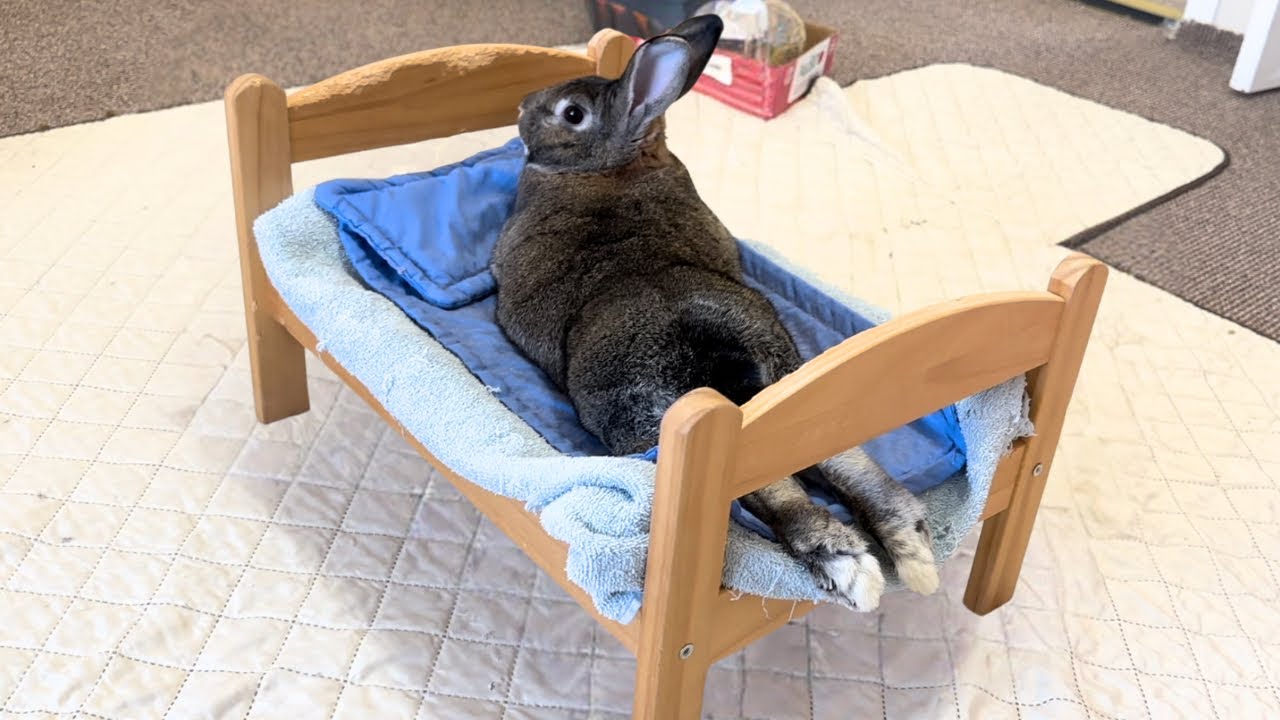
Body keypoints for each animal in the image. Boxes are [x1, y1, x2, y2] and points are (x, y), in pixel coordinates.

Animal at [490, 15, 938, 610]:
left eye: (571, 113)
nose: (521, 105)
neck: (615, 163)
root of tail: (715, 356)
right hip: (786, 377)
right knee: (841, 460)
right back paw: (904, 554)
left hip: (646, 420)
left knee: (769, 491)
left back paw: (844, 565)